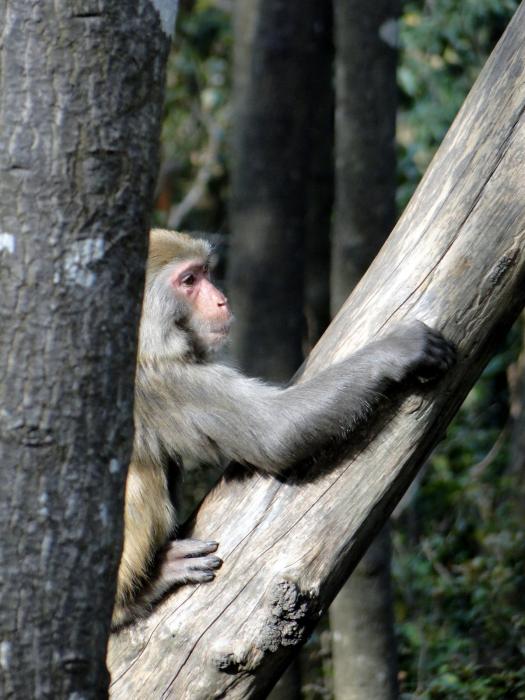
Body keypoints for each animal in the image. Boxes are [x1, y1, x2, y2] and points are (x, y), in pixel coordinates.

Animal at [112, 228, 456, 629]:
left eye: (204, 273)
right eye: (189, 281)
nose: (221, 301)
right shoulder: (164, 382)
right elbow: (275, 431)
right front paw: (397, 351)